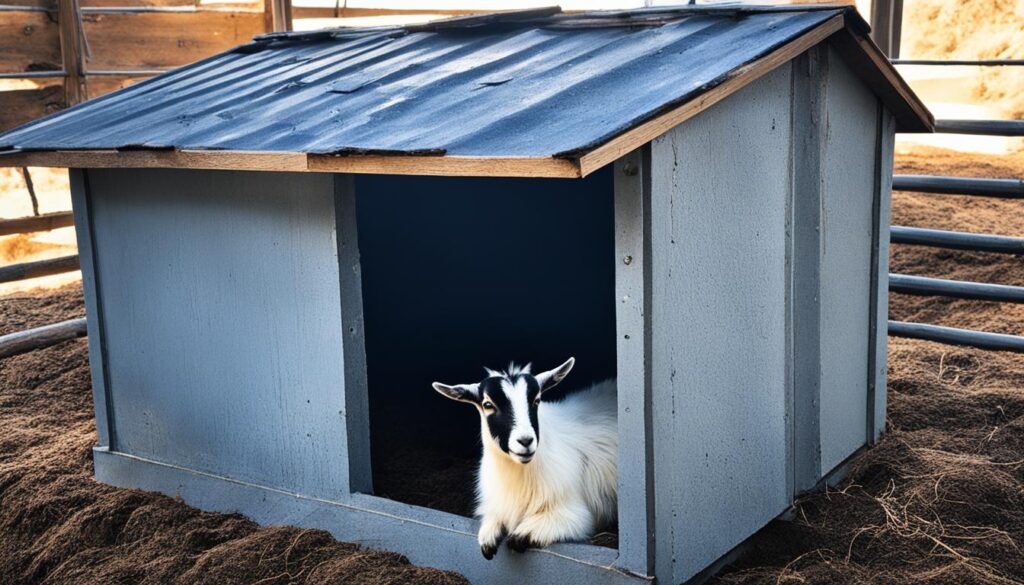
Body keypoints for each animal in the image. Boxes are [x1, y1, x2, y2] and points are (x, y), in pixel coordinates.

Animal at [433, 358, 617, 559]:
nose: (526, 441)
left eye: (536, 400)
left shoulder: (571, 513)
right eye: (488, 405)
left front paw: (519, 536)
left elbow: (519, 537)